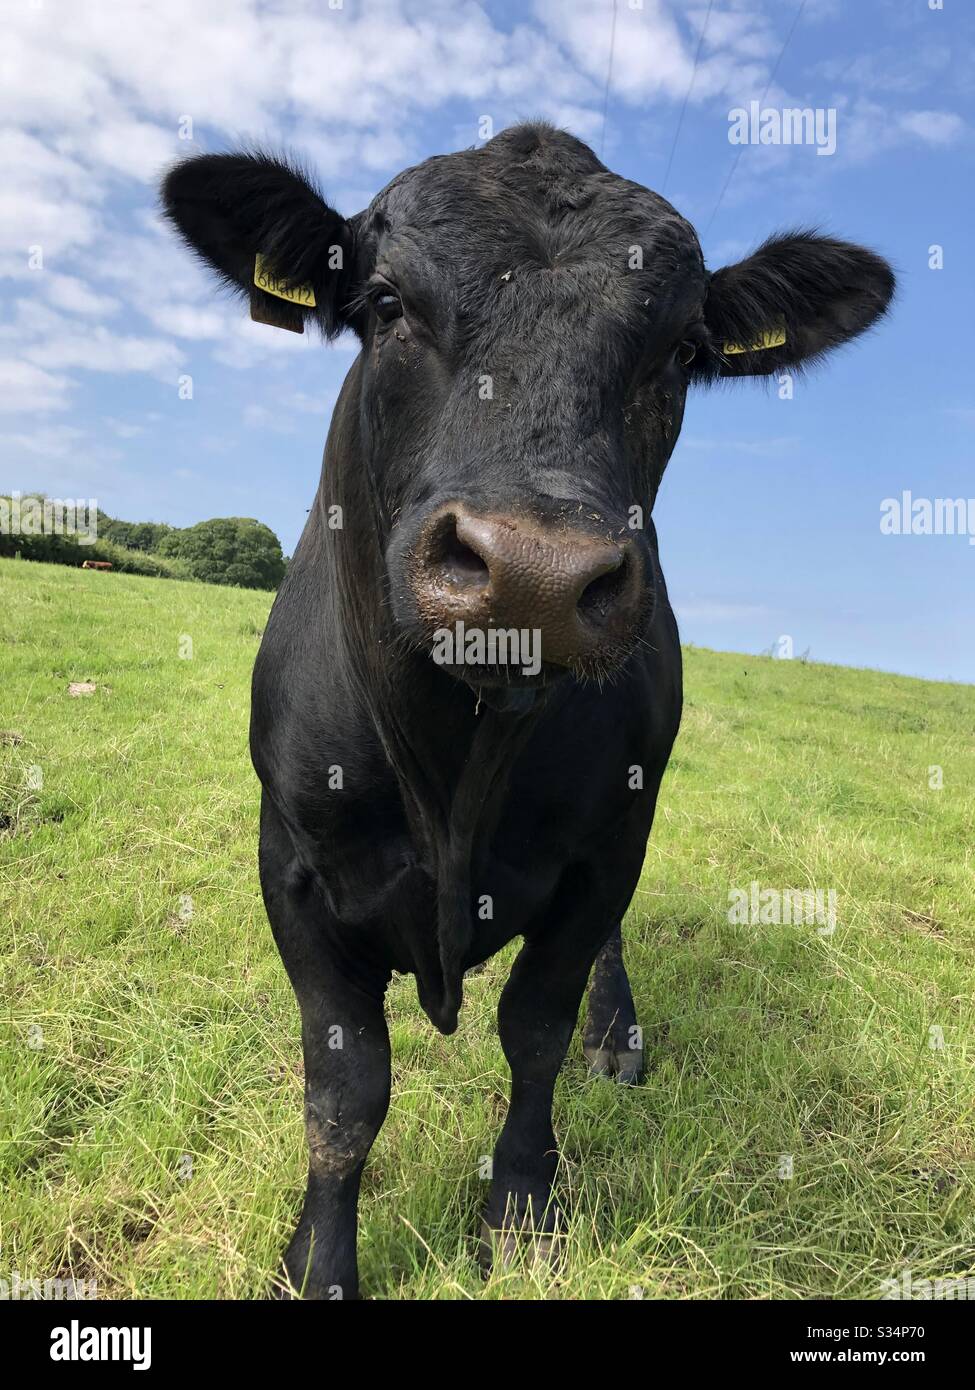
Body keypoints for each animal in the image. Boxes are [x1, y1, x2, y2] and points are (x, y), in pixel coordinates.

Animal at [162, 122, 894, 1299]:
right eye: (384, 302)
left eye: (682, 349)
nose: (534, 576)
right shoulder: (294, 861)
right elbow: (345, 1087)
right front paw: (319, 1261)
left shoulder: (603, 849)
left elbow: (535, 1030)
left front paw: (521, 1208)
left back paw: (619, 1034)